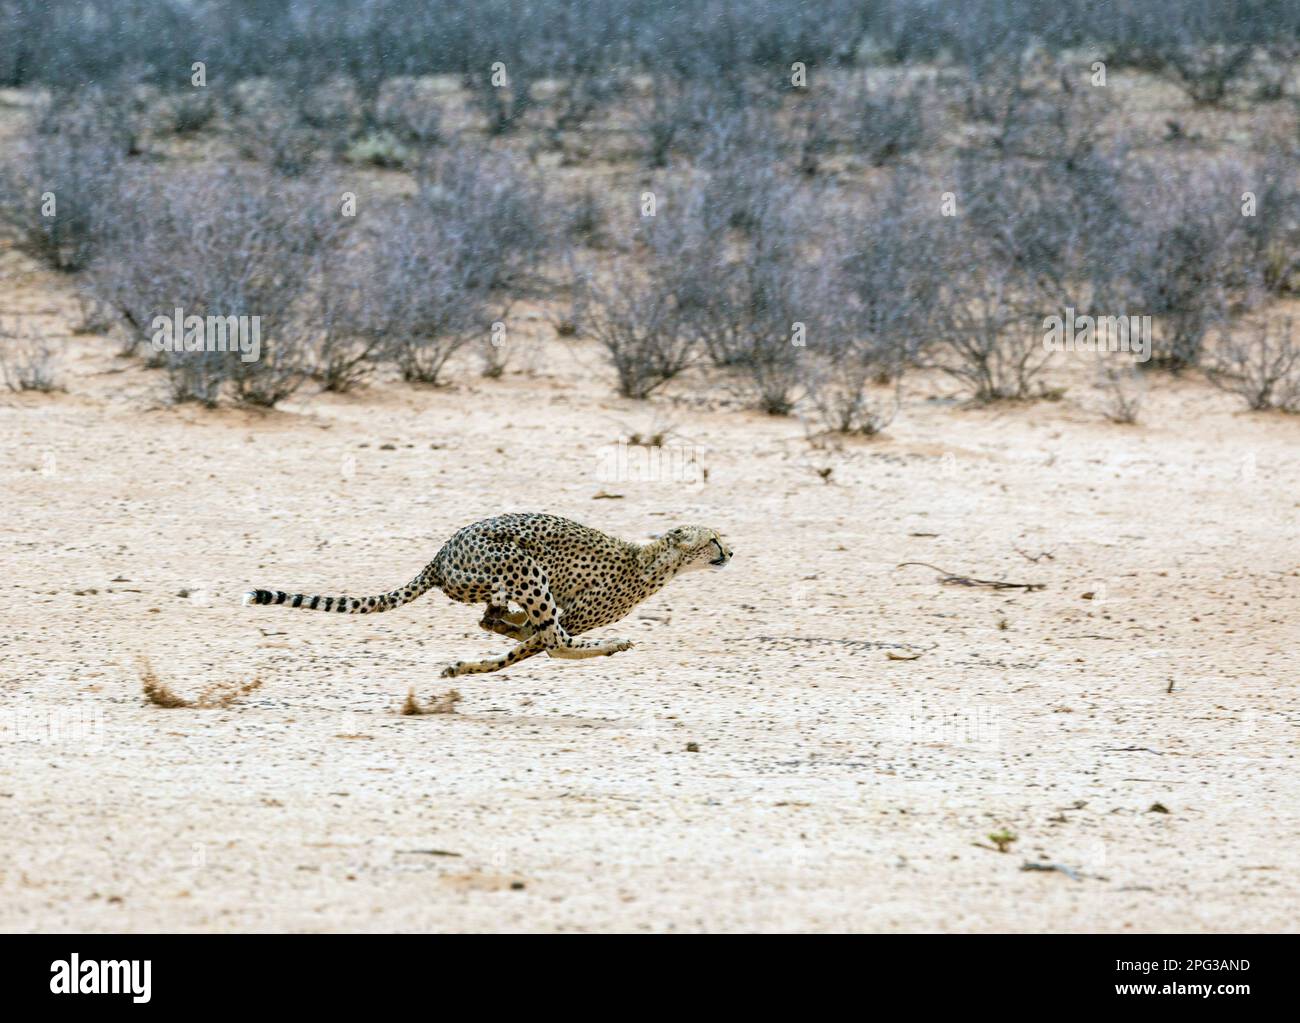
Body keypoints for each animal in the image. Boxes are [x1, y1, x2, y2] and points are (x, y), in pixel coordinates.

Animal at [243, 512, 733, 677]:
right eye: (712, 539)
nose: (730, 552)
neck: (652, 561)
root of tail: (441, 554)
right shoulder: (572, 616)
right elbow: (537, 645)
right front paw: (464, 668)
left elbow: (521, 637)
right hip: (522, 565)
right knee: (552, 641)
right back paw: (610, 644)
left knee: (492, 619)